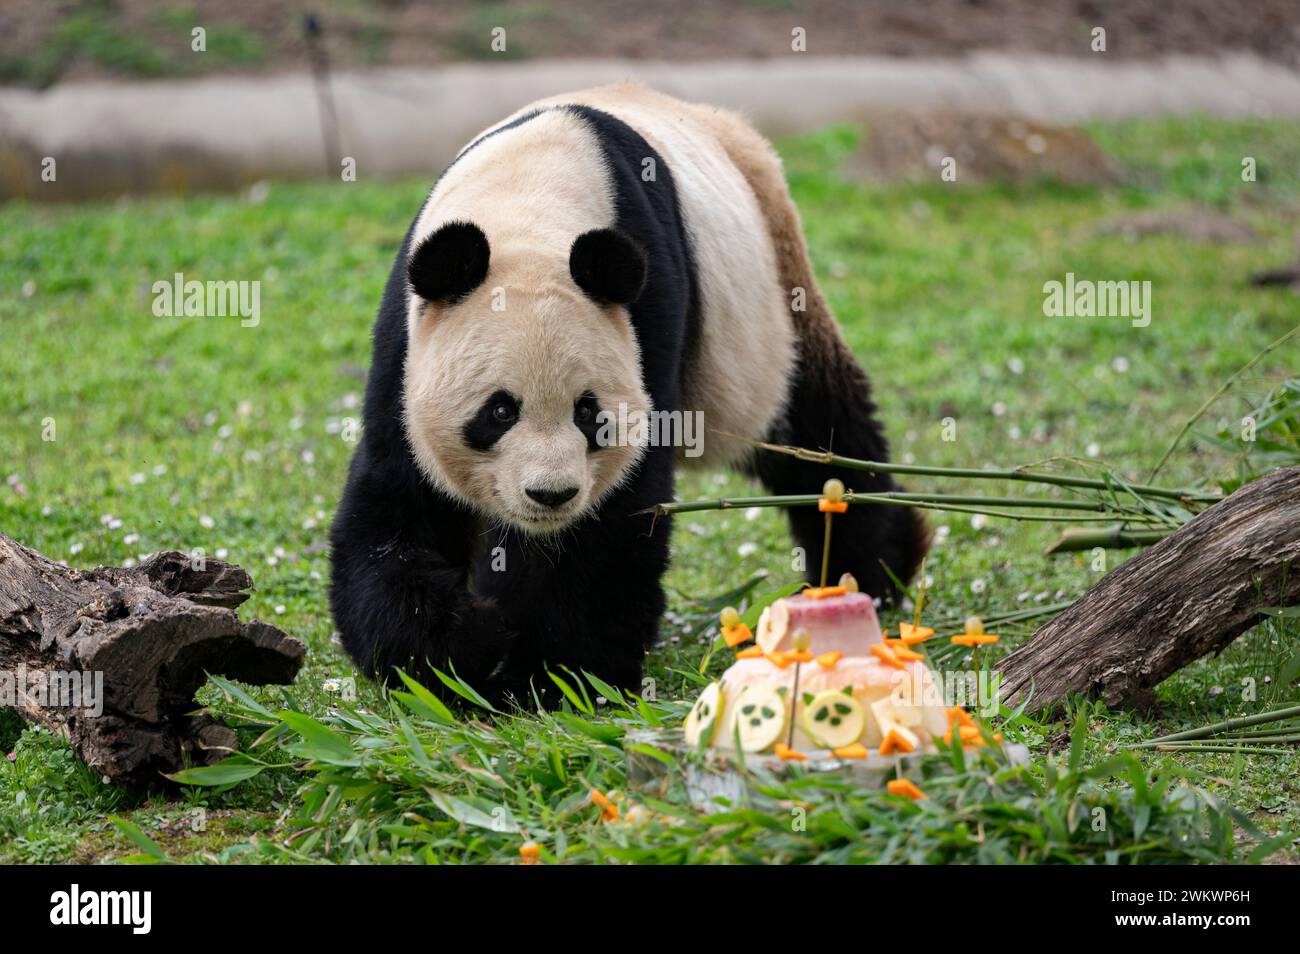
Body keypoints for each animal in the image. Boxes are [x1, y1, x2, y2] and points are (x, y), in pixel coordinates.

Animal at [330, 83, 928, 704]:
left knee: (816, 429)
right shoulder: (406, 343)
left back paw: (867, 572)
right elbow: (396, 509)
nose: (551, 495)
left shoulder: (650, 310)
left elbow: (612, 522)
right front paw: (468, 644)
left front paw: (554, 677)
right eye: (499, 411)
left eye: (589, 414)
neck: (526, 207)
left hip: (770, 295)